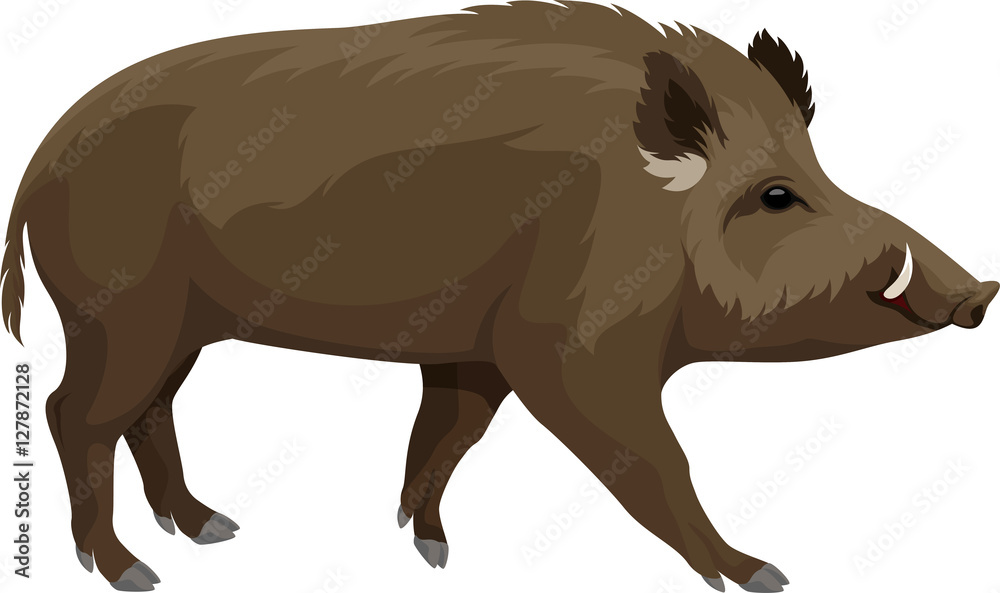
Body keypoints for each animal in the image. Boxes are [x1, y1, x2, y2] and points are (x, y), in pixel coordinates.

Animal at [2, 2, 996, 591]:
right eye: (777, 196)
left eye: (818, 172)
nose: (981, 288)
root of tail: (39, 156)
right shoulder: (569, 349)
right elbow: (657, 459)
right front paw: (762, 574)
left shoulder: (475, 351)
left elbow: (448, 436)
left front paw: (430, 547)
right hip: (117, 310)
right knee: (71, 411)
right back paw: (132, 571)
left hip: (180, 326)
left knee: (150, 410)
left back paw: (213, 529)